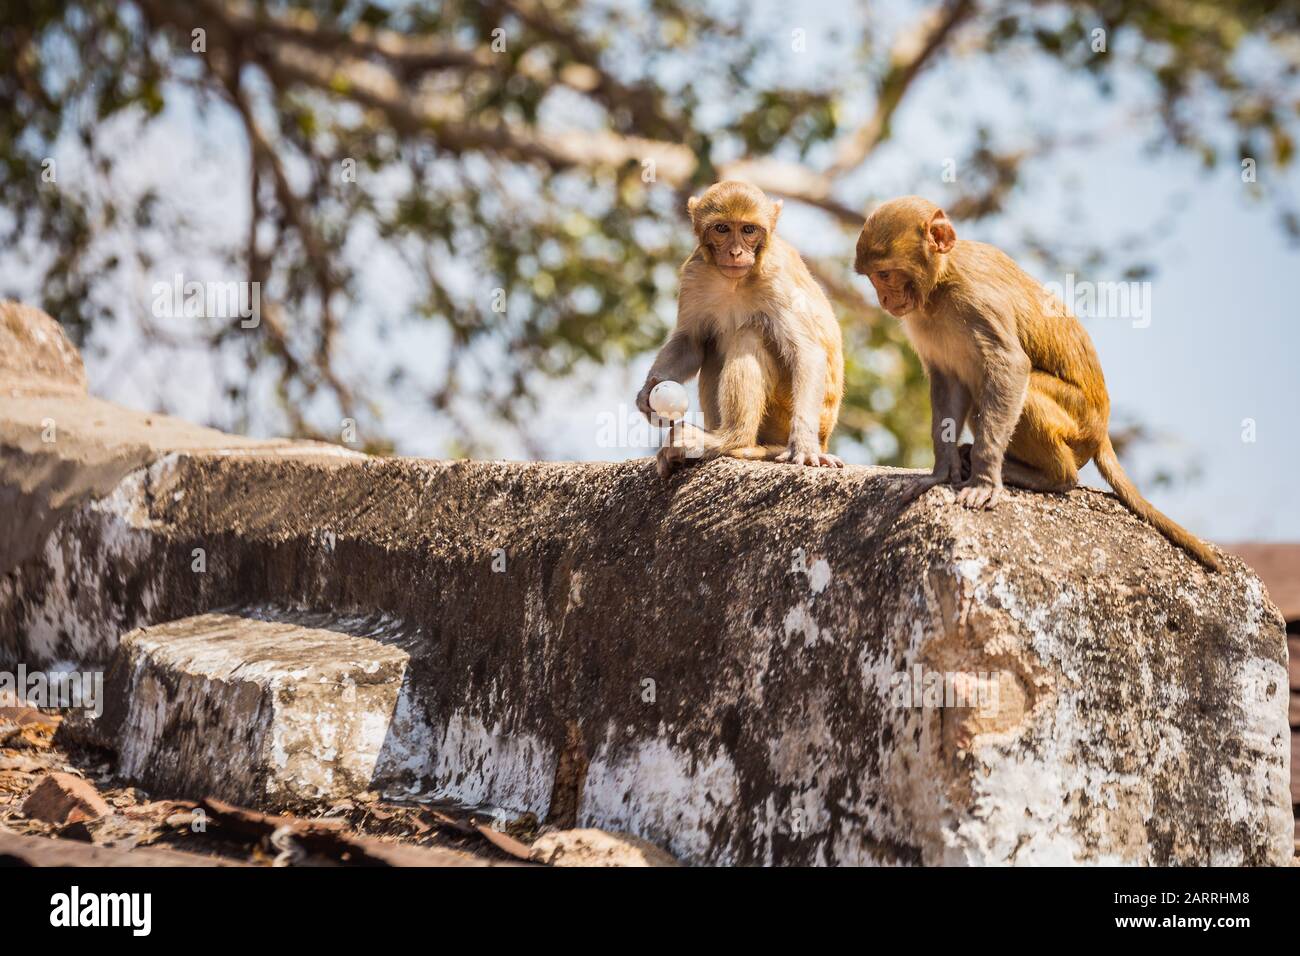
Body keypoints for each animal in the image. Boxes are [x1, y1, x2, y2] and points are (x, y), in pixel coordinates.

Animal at [636, 180, 845, 479]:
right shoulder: (695, 273)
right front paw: (647, 393)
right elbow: (691, 341)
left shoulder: (777, 277)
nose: (735, 253)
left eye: (748, 230)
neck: (736, 281)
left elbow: (807, 352)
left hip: (784, 412)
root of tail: (825, 436)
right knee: (713, 346)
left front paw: (805, 446)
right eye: (722, 228)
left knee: (750, 334)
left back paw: (730, 441)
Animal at [853, 195, 1219, 570]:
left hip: (1079, 423)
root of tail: (1102, 432)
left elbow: (1010, 366)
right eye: (873, 278)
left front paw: (984, 479)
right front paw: (941, 471)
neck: (940, 285)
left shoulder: (976, 299)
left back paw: (1052, 477)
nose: (883, 300)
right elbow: (947, 383)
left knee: (1017, 396)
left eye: (884, 274)